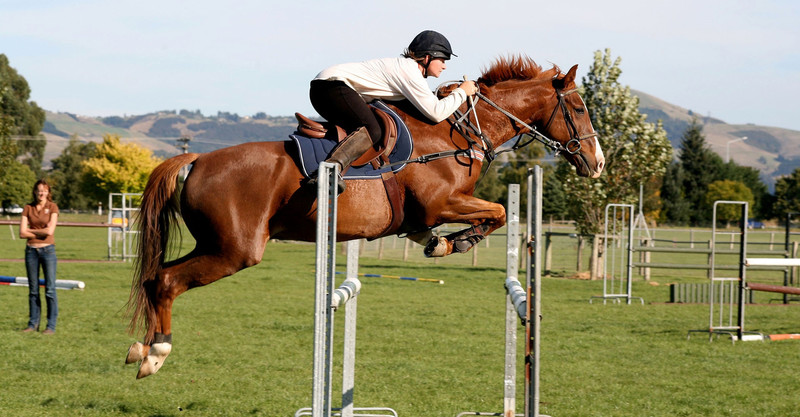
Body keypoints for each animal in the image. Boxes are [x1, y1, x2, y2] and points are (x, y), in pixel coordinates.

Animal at [124, 55, 605, 379]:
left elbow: (467, 221)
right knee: (166, 282)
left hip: (214, 244)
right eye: (580, 109)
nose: (598, 163)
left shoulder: (424, 214)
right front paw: (459, 241)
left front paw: (441, 242)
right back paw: (155, 354)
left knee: (154, 278)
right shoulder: (441, 202)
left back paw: (139, 349)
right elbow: (500, 211)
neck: (458, 134)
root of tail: (196, 160)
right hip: (235, 250)